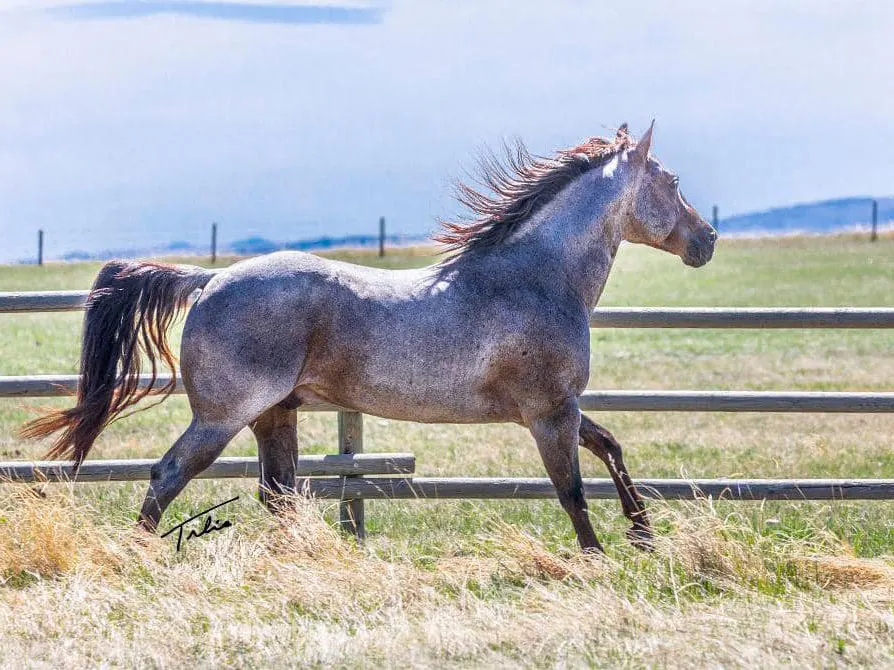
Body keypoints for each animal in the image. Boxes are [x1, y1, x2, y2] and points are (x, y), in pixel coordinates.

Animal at [22, 122, 716, 552]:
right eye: (675, 182)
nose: (706, 241)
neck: (535, 277)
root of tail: (211, 277)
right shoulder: (548, 413)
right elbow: (572, 489)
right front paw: (598, 558)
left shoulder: (561, 407)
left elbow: (611, 449)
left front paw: (644, 536)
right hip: (223, 416)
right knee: (169, 475)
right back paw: (136, 556)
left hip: (274, 415)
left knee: (277, 494)